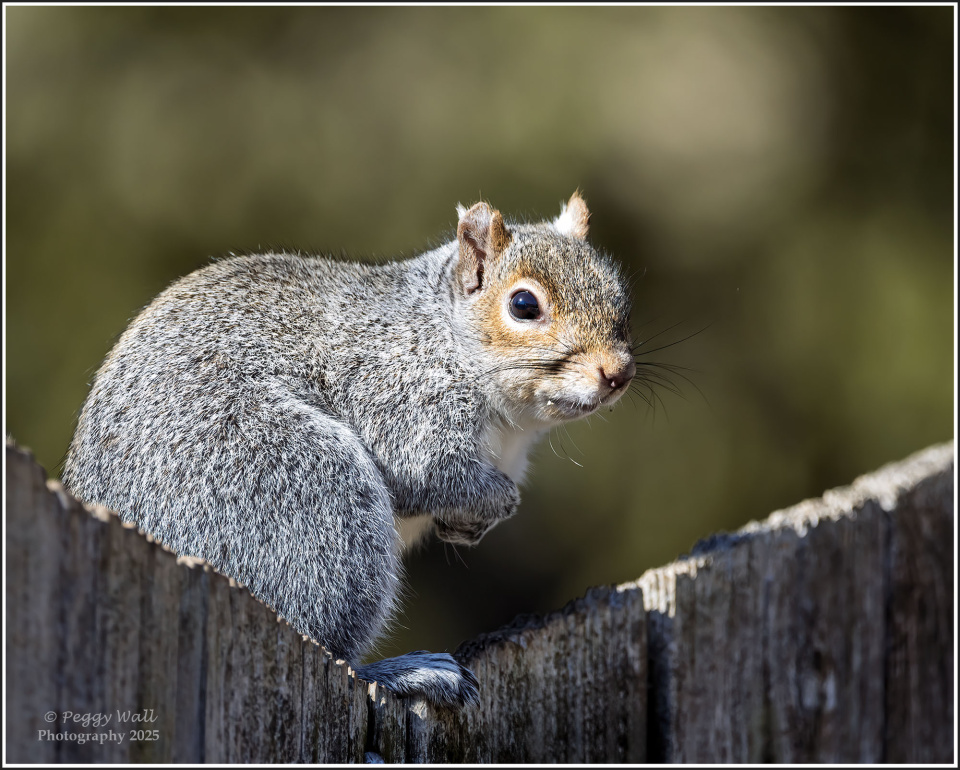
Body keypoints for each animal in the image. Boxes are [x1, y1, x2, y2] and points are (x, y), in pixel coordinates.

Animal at [62, 192, 636, 708]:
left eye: (621, 300)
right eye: (523, 305)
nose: (618, 374)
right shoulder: (396, 395)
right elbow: (427, 472)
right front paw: (495, 503)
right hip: (309, 501)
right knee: (329, 645)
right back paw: (405, 672)